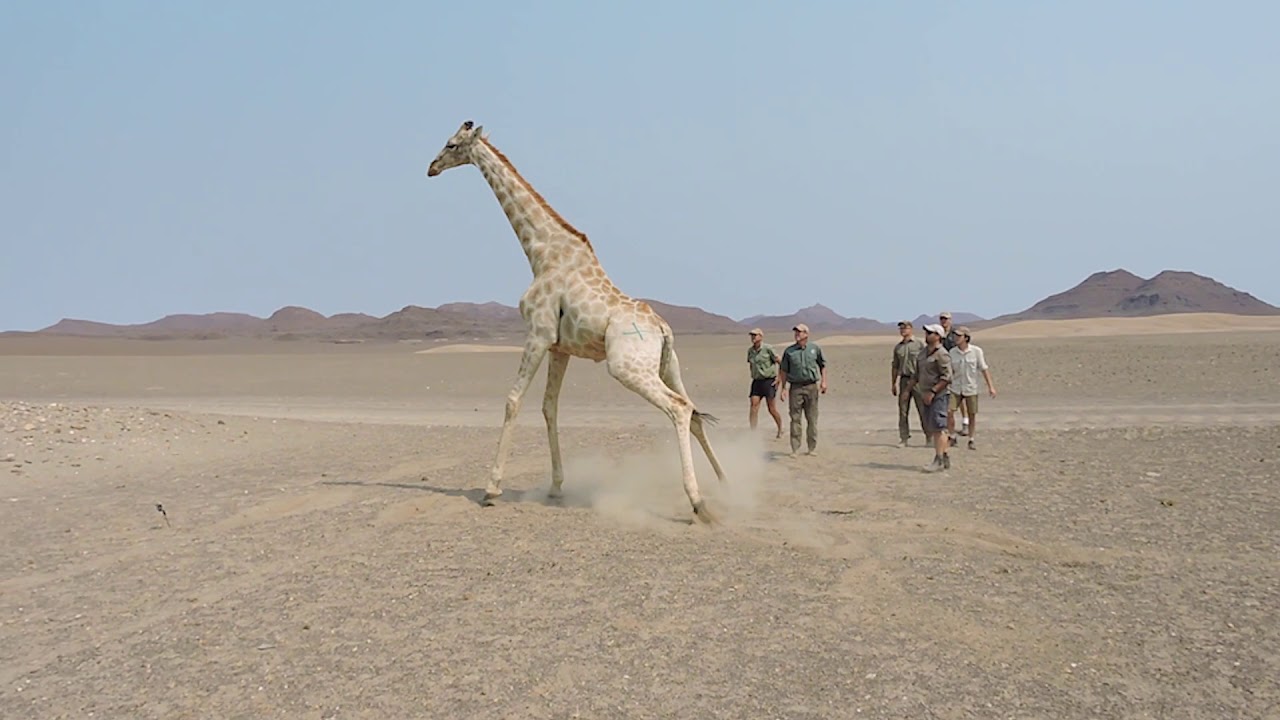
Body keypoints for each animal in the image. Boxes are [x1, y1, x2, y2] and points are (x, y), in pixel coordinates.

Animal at [425, 120, 728, 525]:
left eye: (451, 144)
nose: (431, 168)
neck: (540, 252)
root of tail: (663, 330)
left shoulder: (537, 333)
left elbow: (513, 401)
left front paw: (491, 489)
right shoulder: (560, 347)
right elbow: (549, 407)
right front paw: (555, 487)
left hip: (627, 366)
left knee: (679, 408)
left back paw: (699, 502)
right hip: (669, 364)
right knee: (693, 411)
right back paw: (727, 484)